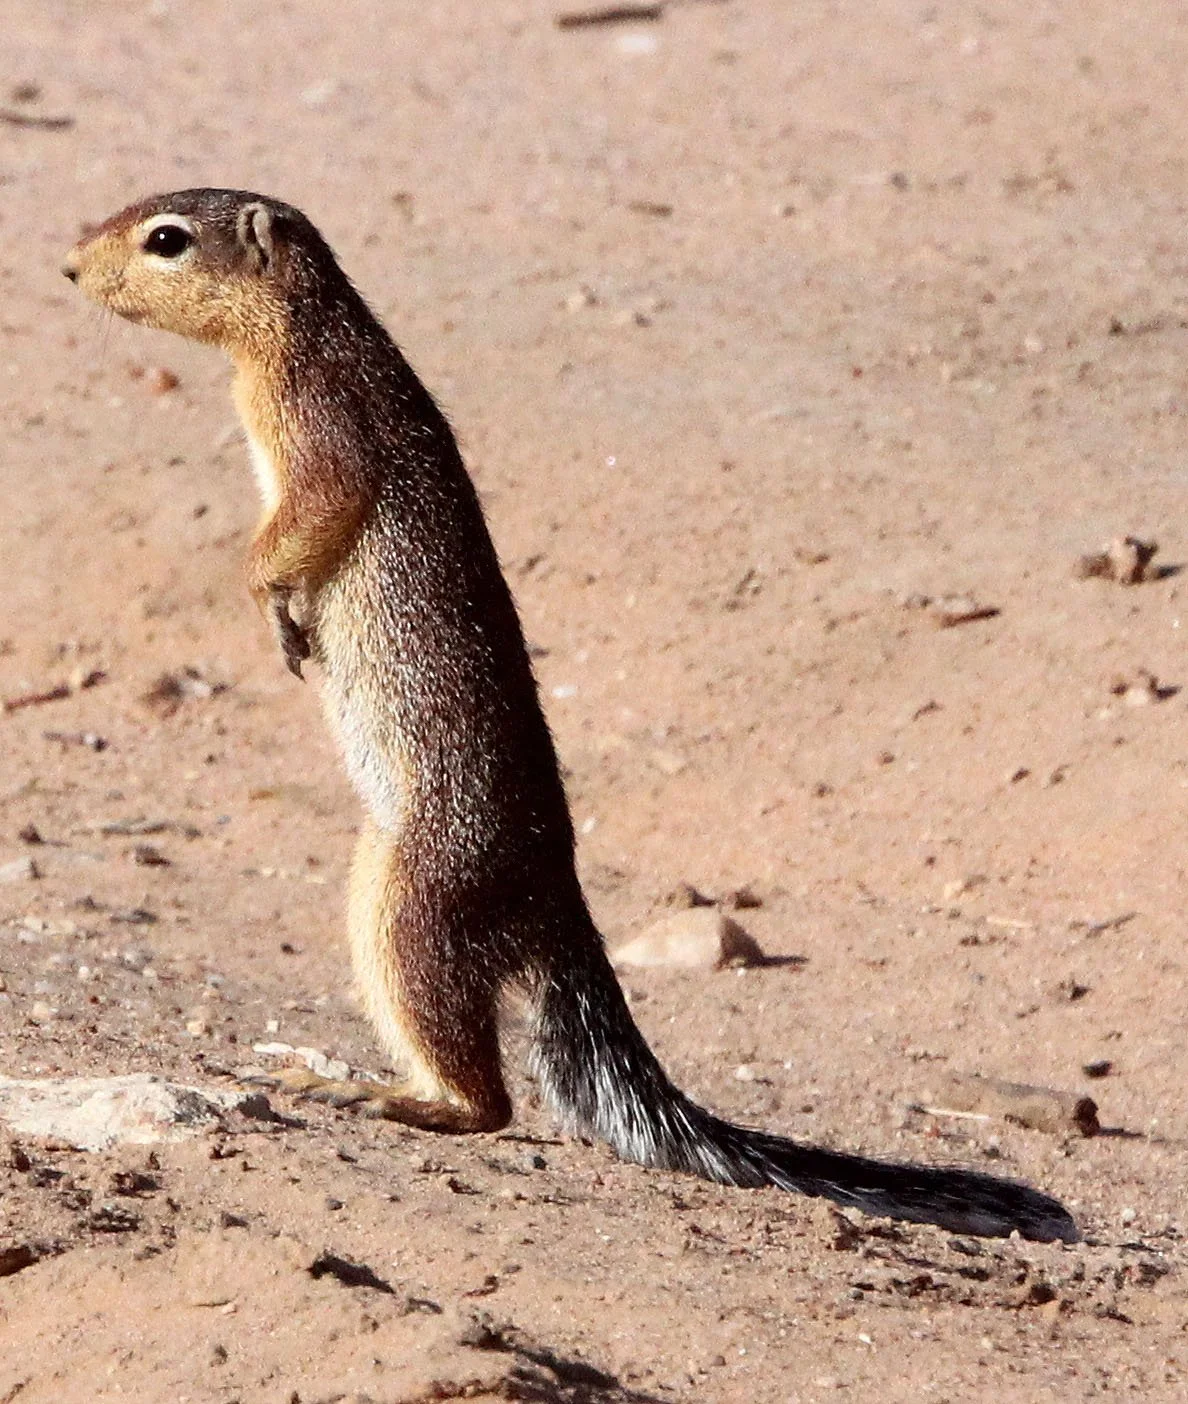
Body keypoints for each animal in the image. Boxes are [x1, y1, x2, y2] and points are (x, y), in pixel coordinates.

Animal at [63, 188, 1077, 1243]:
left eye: (167, 239)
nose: (68, 266)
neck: (311, 329)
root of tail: (556, 894)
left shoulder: (325, 425)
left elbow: (302, 527)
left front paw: (272, 609)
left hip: (410, 903)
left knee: (490, 1101)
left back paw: (388, 1097)